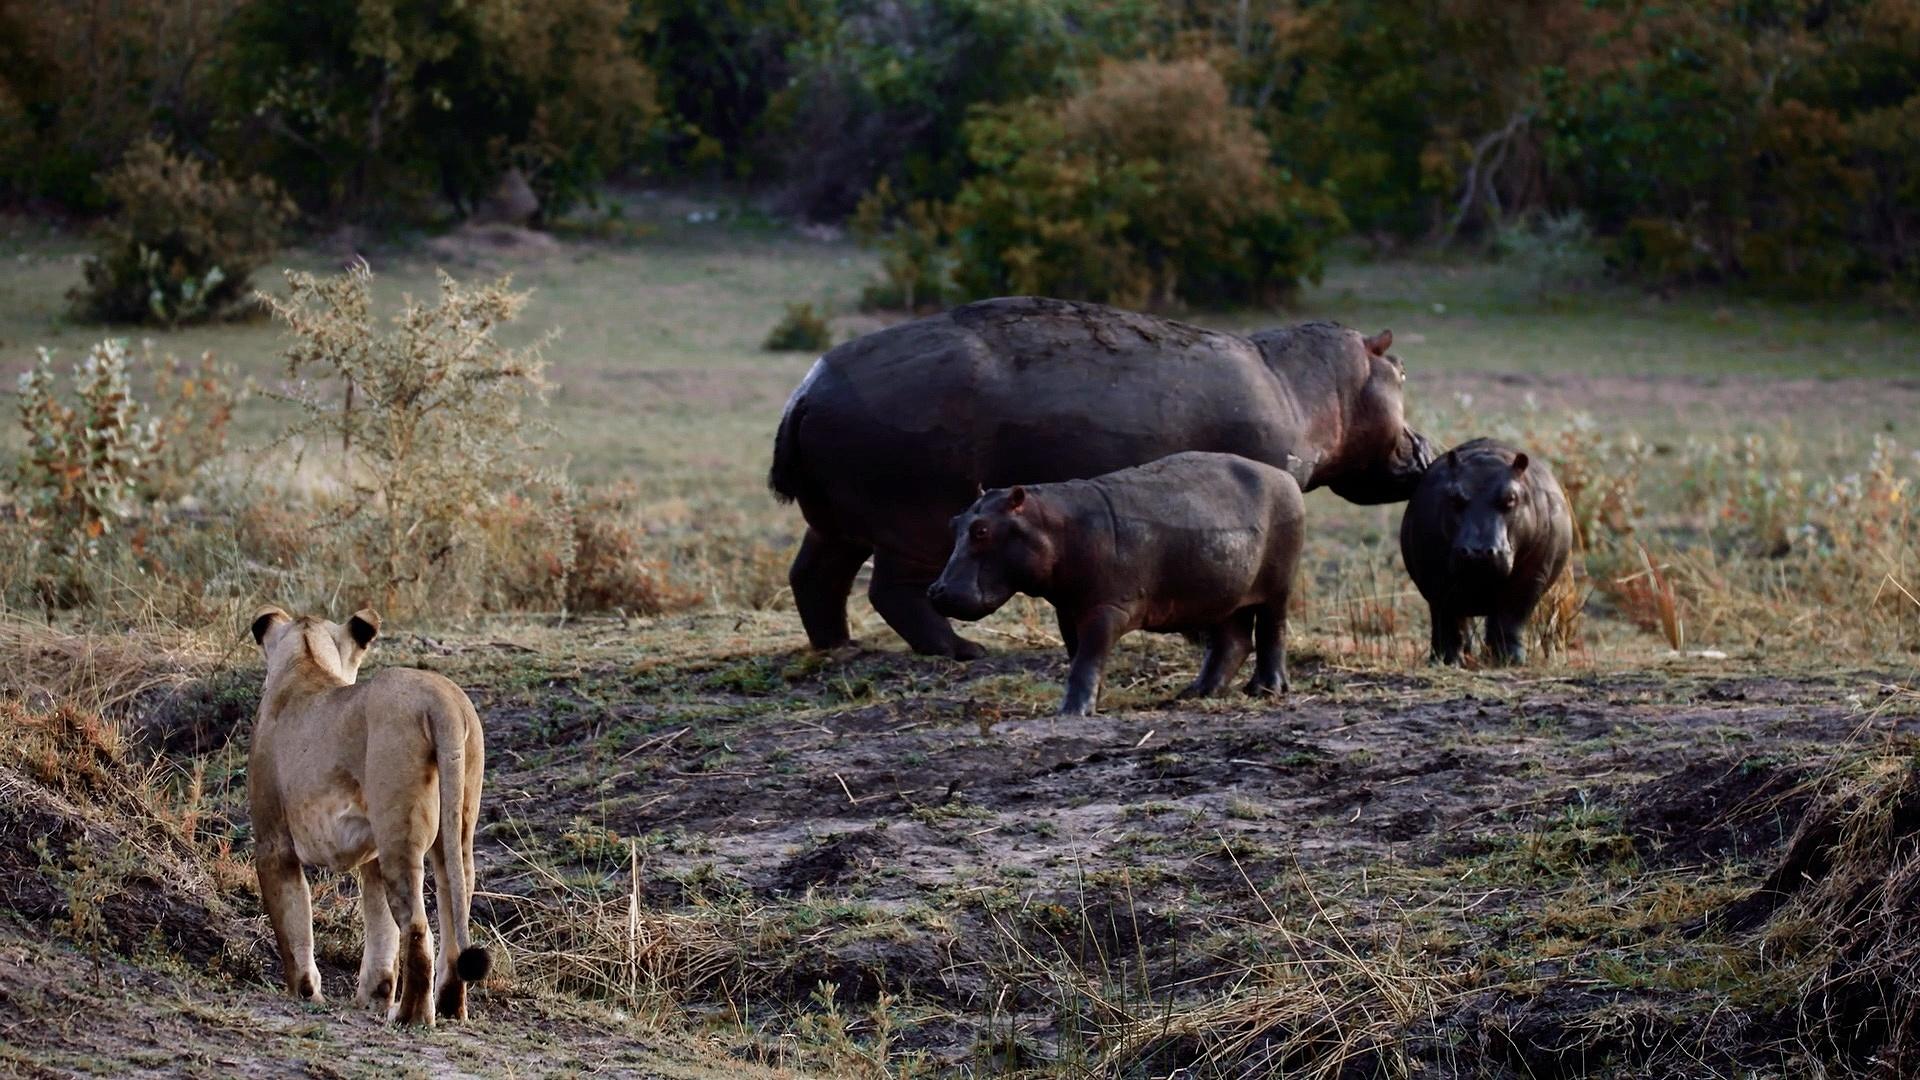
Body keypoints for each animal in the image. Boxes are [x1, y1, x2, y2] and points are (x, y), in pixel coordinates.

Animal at [248, 606, 490, 1026]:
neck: (306, 660)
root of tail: (440, 700)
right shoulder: (372, 855)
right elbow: (380, 933)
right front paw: (372, 999)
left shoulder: (272, 842)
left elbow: (293, 925)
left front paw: (305, 995)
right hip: (455, 827)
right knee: (453, 908)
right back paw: (449, 1009)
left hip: (399, 832)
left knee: (418, 927)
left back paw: (411, 1016)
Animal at [769, 296, 1433, 659]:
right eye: (1400, 371)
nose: (1426, 445)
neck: (1310, 387)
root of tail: (806, 388)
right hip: (917, 523)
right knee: (894, 592)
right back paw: (964, 651)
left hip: (839, 522)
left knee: (814, 576)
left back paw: (839, 647)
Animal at [927, 451, 1304, 716]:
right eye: (953, 522)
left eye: (981, 530)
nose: (936, 590)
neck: (1052, 525)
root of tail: (1284, 475)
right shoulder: (1068, 610)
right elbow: (1079, 656)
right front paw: (1093, 699)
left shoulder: (1107, 609)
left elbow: (1089, 656)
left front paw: (1072, 711)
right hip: (1223, 593)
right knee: (1233, 642)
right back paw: (1195, 693)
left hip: (1277, 588)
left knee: (1272, 632)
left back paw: (1265, 691)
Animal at [1399, 438, 1573, 666]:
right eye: (1454, 498)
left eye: (1511, 498)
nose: (1477, 551)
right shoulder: (1436, 579)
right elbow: (1447, 616)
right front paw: (1447, 662)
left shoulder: (1531, 577)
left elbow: (1511, 616)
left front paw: (1511, 660)